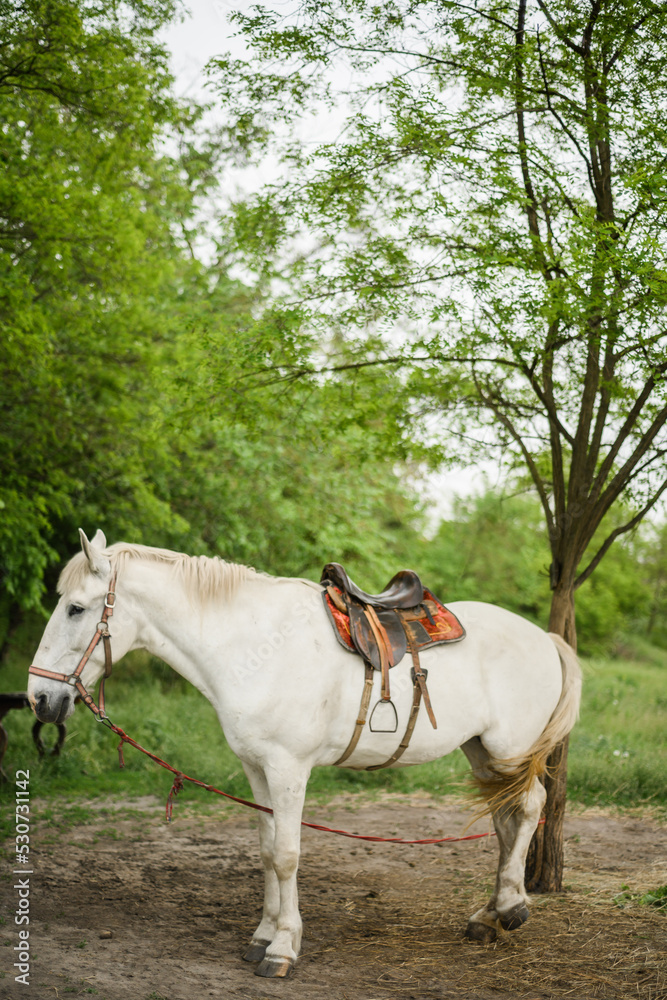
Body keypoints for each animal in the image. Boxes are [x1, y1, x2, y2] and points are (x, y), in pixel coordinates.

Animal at [28, 529, 581, 978]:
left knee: (528, 807)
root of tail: (545, 637)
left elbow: (288, 855)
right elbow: (267, 851)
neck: (253, 647)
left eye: (76, 608)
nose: (39, 698)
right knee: (506, 818)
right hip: (481, 752)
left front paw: (283, 948)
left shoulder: (288, 768)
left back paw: (511, 906)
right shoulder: (257, 769)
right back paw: (489, 916)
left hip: (508, 751)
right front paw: (263, 935)